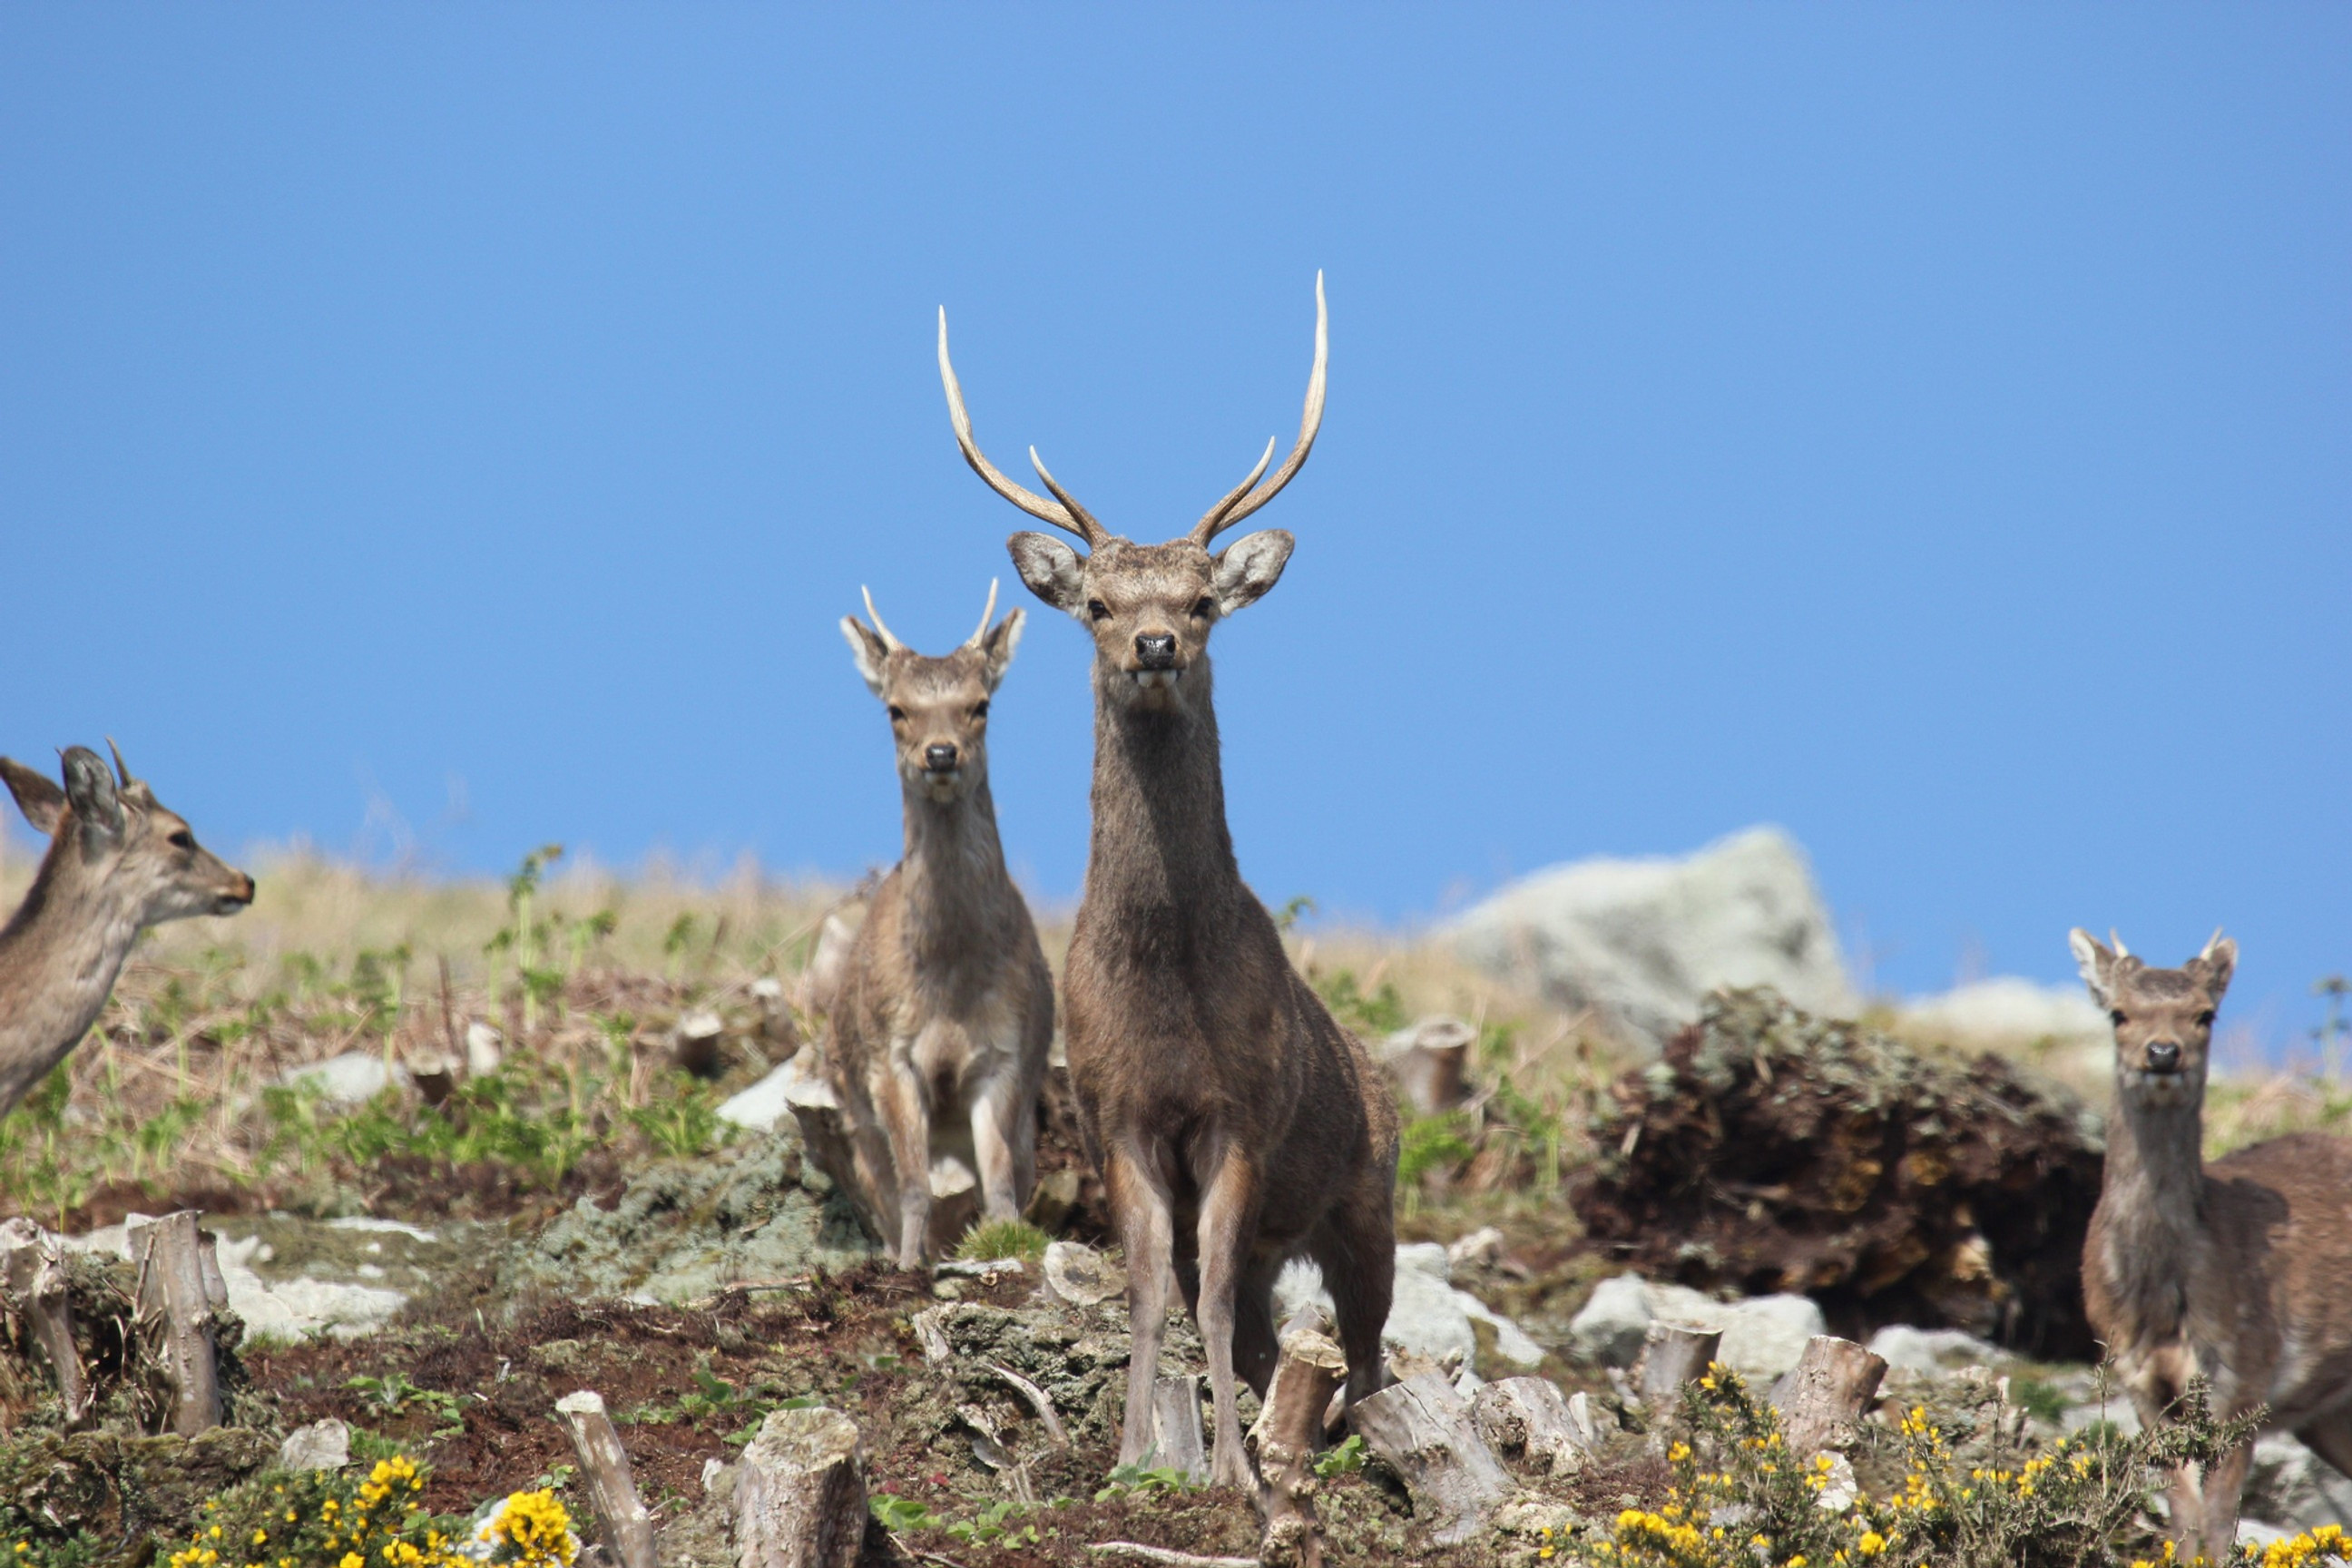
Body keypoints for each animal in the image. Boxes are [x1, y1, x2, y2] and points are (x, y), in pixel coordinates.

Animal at [823, 582, 1056, 1268]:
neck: (949, 981)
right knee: (883, 1188)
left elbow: (1000, 1187)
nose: (941, 752)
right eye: (896, 710)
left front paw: (1006, 1250)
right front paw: (908, 1266)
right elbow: (913, 1187)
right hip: (855, 1114)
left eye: (980, 705)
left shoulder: (1006, 1056)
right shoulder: (890, 1060)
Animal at [937, 273, 1399, 1490]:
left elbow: (1215, 1290)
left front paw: (1230, 1470)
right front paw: (1132, 1458)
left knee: (1365, 1338)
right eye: (1098, 605)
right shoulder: (1118, 1119)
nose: (1153, 644)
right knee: (1260, 1324)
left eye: (1201, 602)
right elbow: (1154, 1291)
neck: (1162, 983)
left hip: (1371, 1192)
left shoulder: (1240, 1114)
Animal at [2073, 927, 2352, 1560]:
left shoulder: (2242, 1376)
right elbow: (2184, 1518)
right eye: (2118, 1013)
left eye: (2205, 1013)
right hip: (2327, 1416)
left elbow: (2220, 1522)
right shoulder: (2141, 1387)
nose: (2162, 1053)